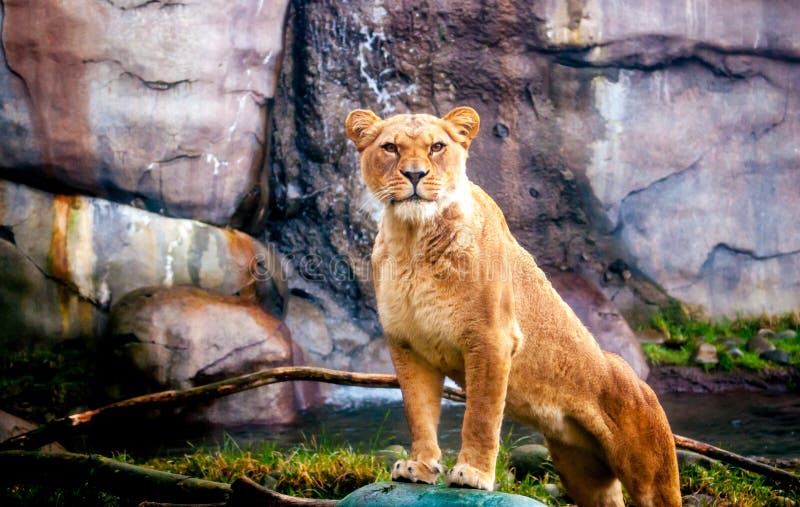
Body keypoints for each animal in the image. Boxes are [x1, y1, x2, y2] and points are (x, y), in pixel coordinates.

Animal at [345, 106, 682, 506]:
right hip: (582, 474)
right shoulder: (407, 345)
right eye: (391, 148)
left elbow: (481, 416)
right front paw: (419, 468)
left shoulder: (491, 338)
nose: (414, 174)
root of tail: (637, 381)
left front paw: (472, 475)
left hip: (650, 474)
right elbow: (419, 413)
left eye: (437, 147)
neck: (413, 240)